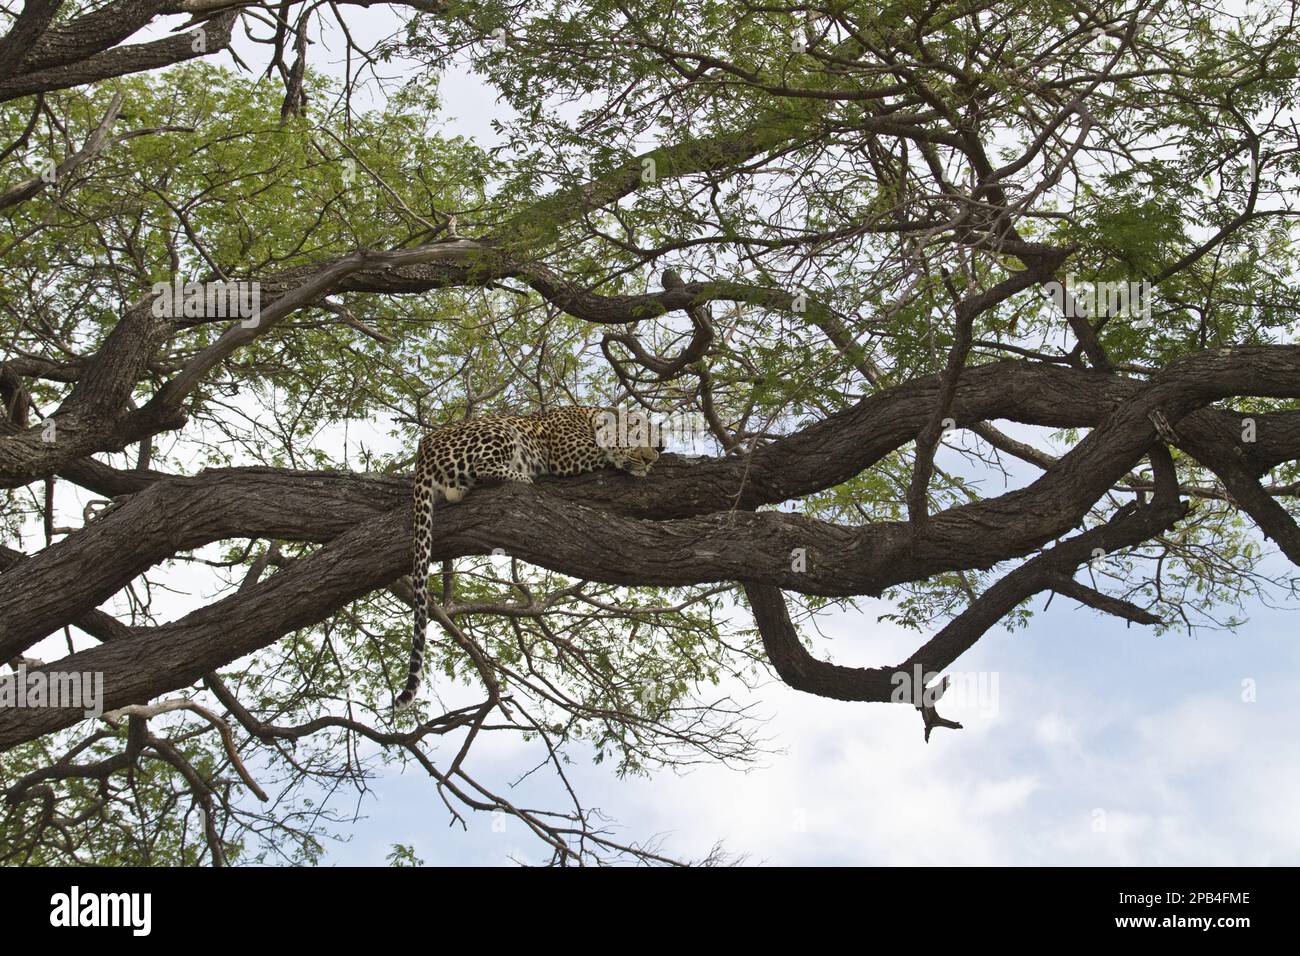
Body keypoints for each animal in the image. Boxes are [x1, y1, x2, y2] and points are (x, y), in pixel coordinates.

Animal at [395, 406, 660, 709]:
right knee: (483, 466)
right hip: (500, 430)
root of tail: (423, 454)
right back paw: (522, 477)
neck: (589, 417)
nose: (652, 458)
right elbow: (606, 453)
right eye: (635, 436)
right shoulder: (570, 453)